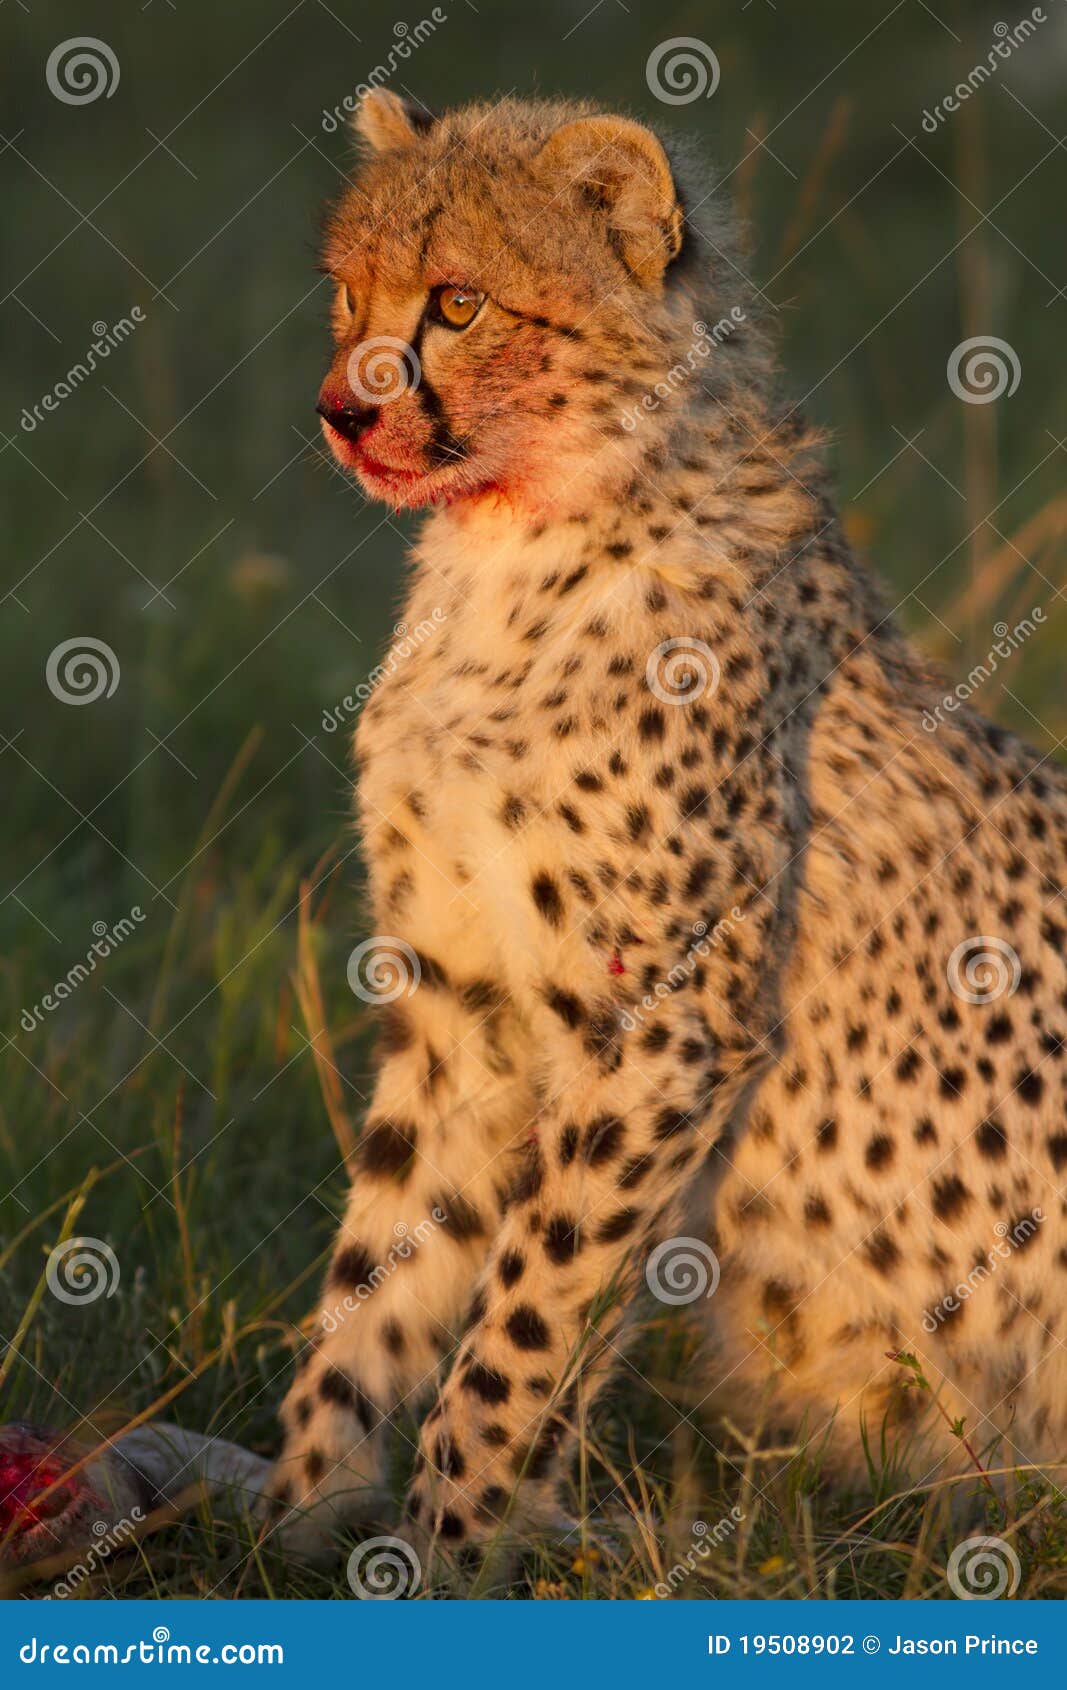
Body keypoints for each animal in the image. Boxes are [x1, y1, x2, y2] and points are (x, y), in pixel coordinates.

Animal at [4, 89, 1067, 1581]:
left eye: (456, 303)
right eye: (346, 295)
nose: (341, 411)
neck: (510, 546)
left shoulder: (663, 1029)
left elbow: (523, 1317)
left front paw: (449, 1551)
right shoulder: (459, 1005)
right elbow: (379, 1273)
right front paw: (304, 1523)